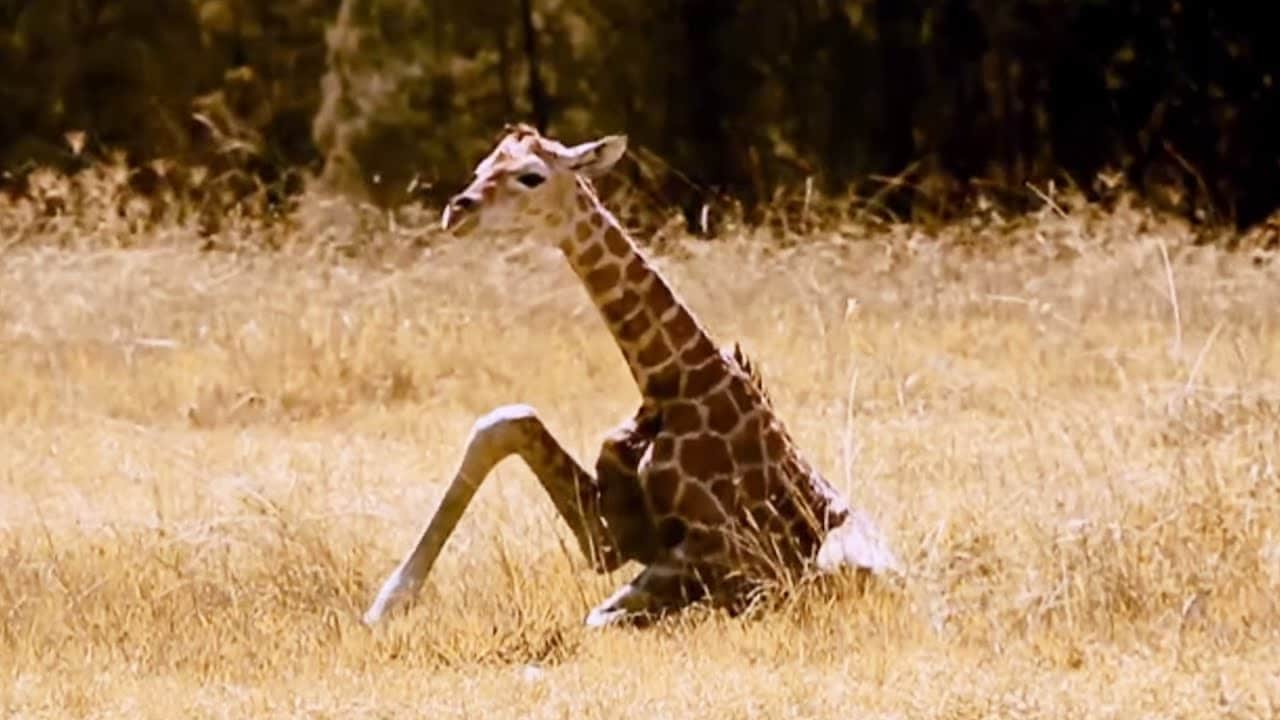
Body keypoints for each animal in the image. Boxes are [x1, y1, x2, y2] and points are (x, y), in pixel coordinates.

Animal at [362, 124, 897, 628]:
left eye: (531, 176)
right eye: (480, 168)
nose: (458, 210)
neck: (672, 381)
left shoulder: (713, 552)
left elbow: (600, 618)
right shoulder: (615, 540)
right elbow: (504, 420)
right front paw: (386, 604)